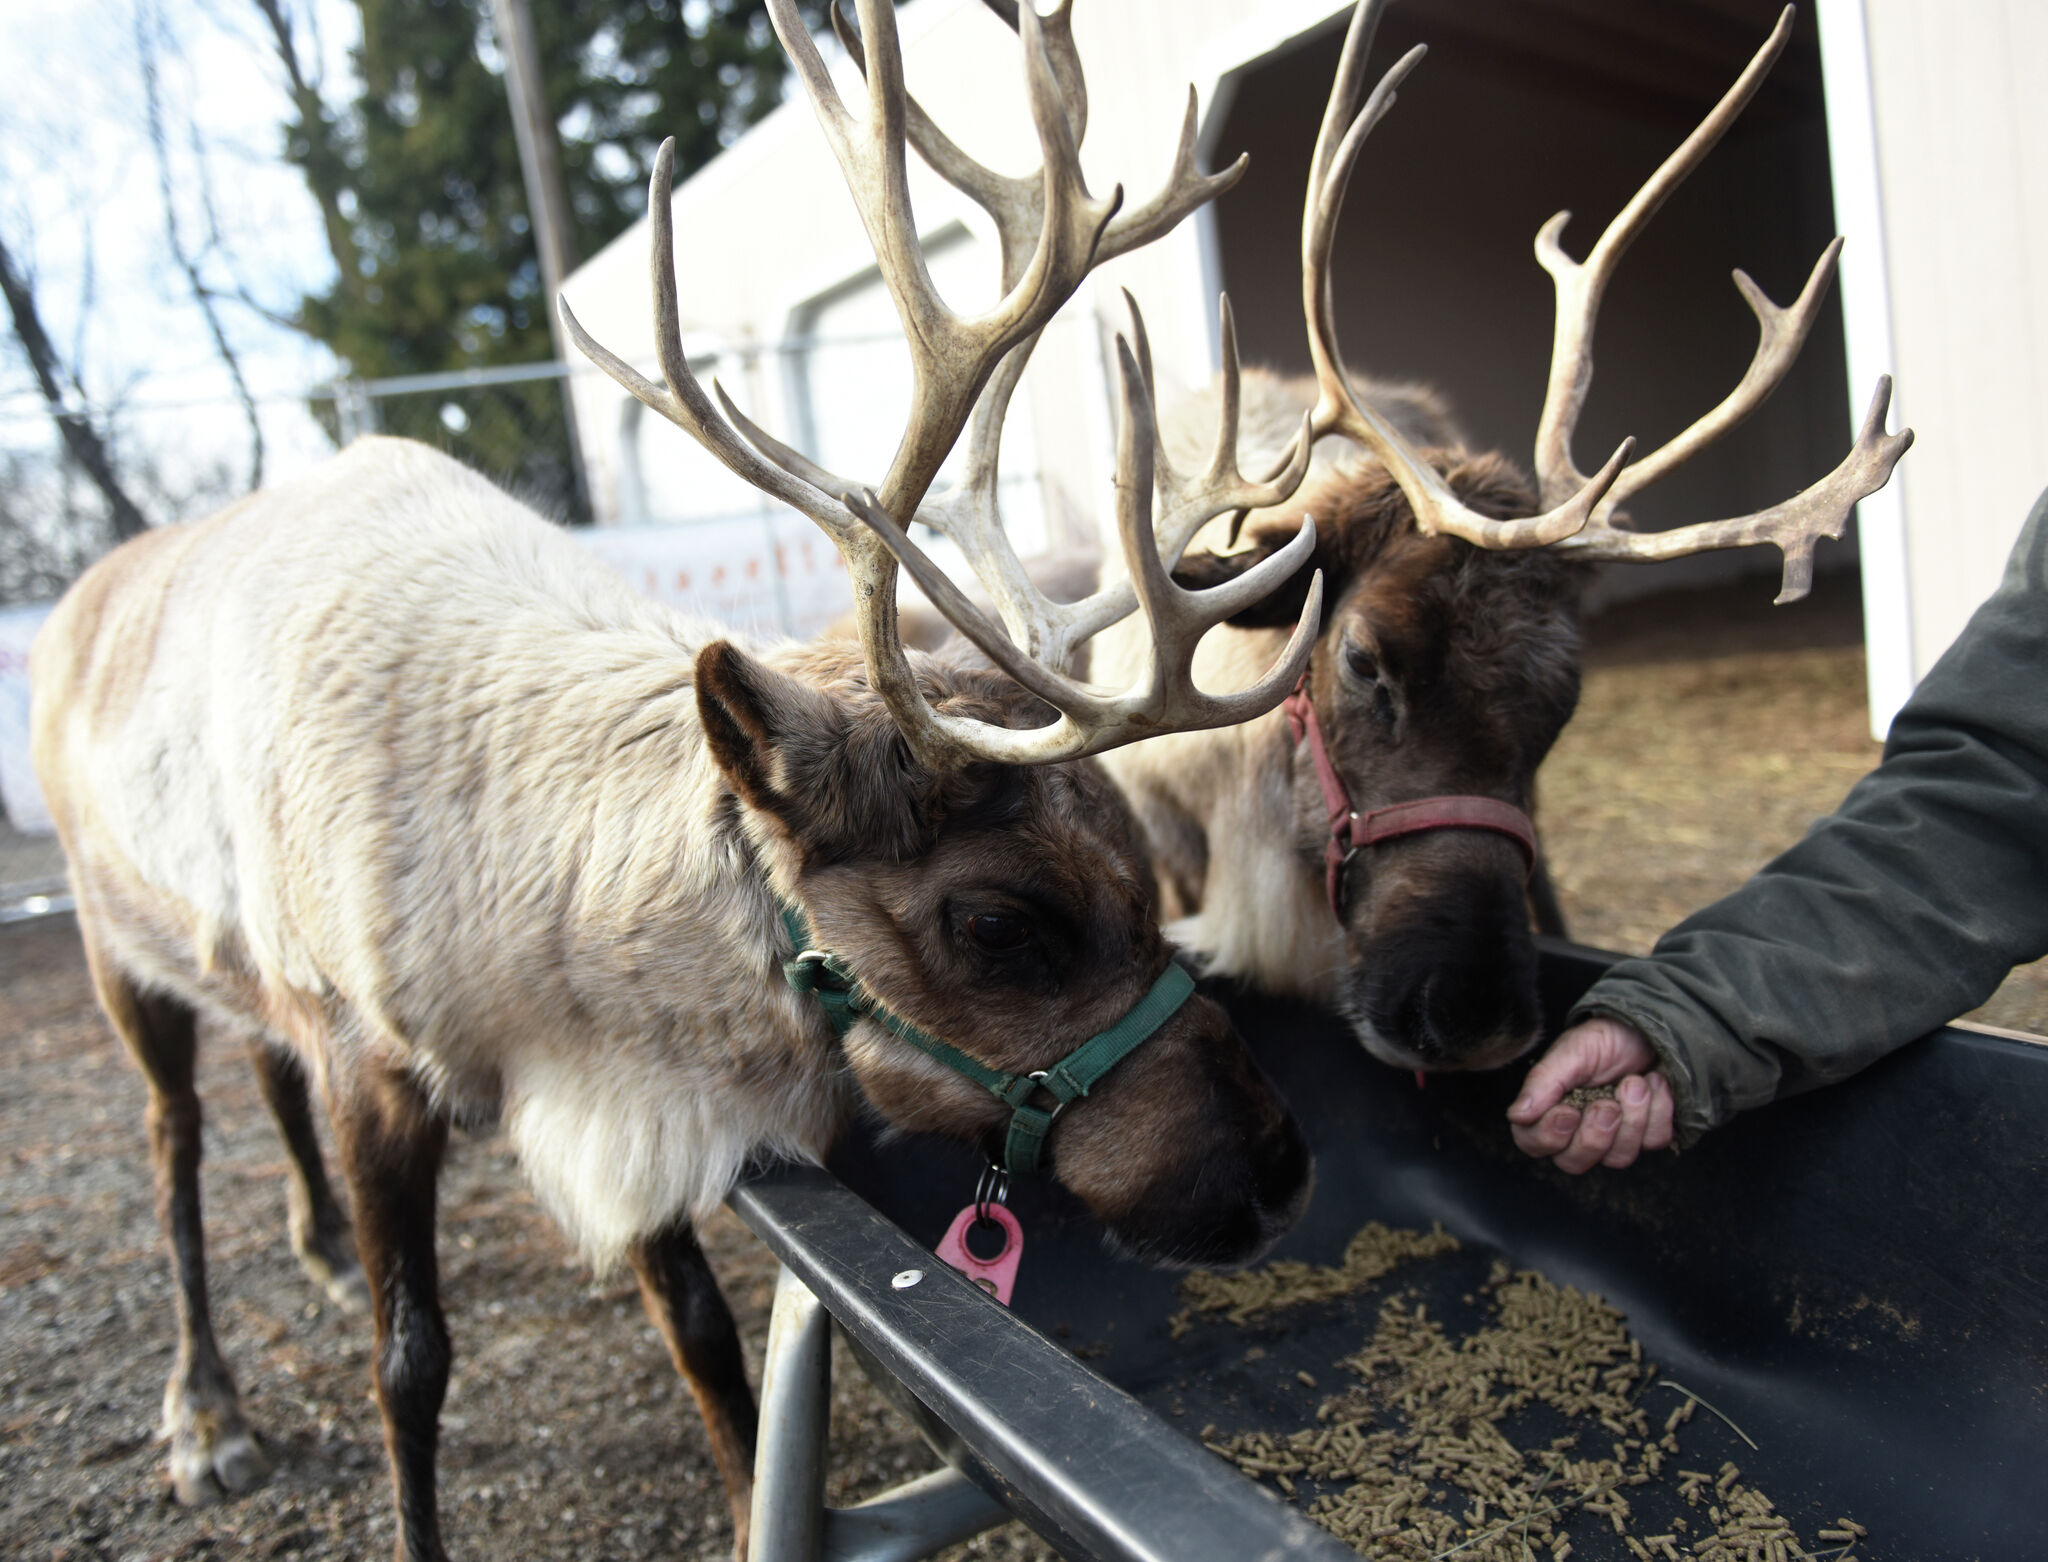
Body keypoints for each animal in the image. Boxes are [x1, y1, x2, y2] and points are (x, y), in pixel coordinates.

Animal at [29, 4, 1328, 1558]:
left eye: (1147, 871)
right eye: (1000, 921)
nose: (1282, 1163)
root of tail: (74, 600)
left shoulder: (623, 1096)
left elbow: (703, 1330)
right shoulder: (369, 1062)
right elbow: (411, 1364)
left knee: (250, 1067)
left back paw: (316, 1244)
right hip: (116, 954)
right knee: (172, 1144)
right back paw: (208, 1412)